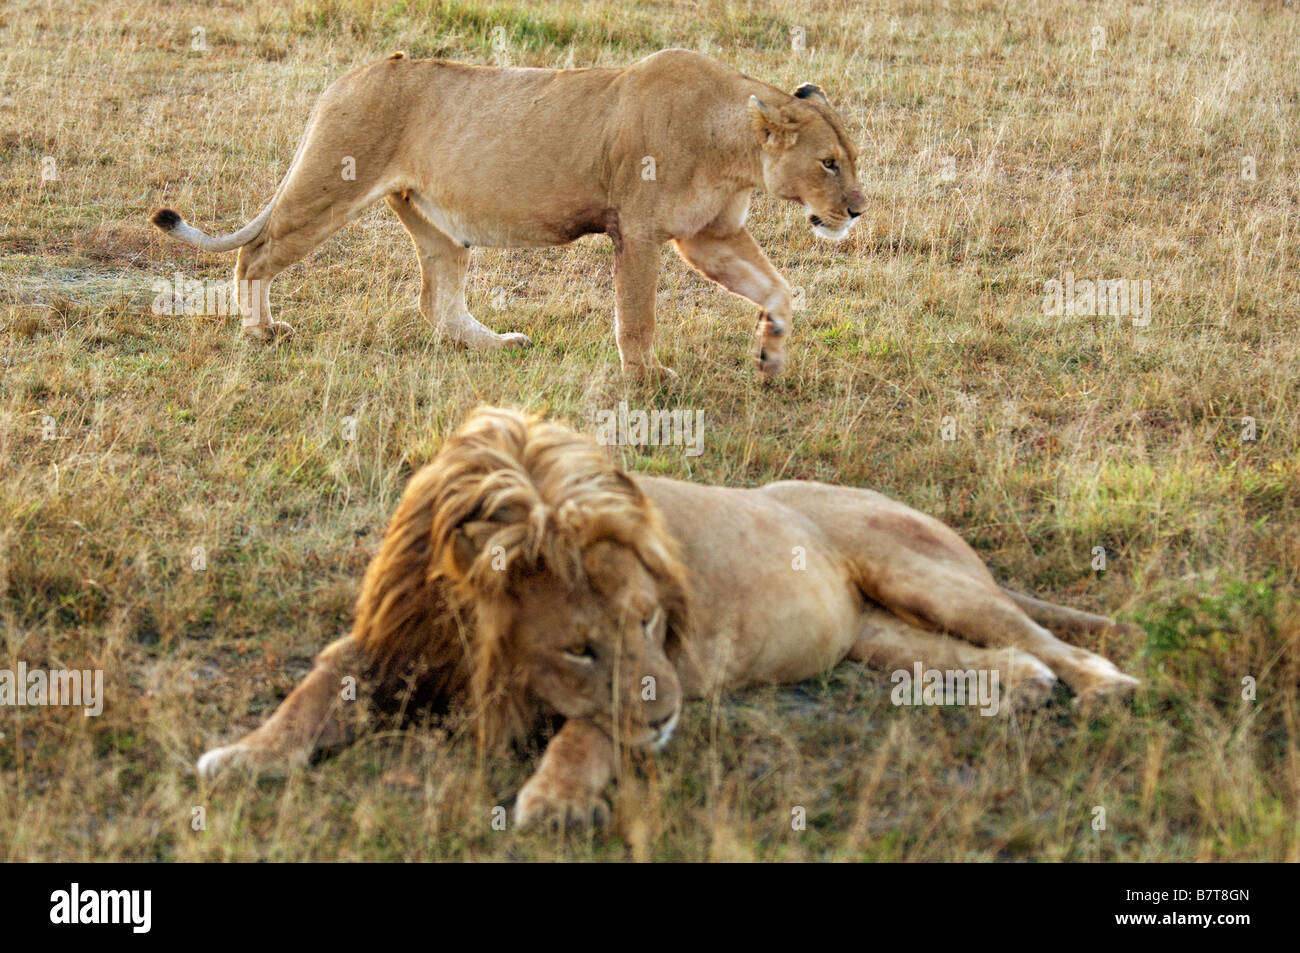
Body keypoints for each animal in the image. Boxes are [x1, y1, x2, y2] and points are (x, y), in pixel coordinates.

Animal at [147, 49, 865, 379]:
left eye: (851, 159)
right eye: (828, 163)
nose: (858, 210)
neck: (733, 144)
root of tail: (348, 76)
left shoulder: (711, 236)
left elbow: (778, 288)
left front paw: (770, 353)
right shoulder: (638, 232)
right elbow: (637, 315)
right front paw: (646, 380)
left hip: (436, 225)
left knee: (436, 305)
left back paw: (500, 344)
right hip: (327, 186)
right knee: (255, 253)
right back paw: (260, 332)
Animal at [196, 406, 1141, 831]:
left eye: (653, 623)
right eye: (578, 648)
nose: (670, 716)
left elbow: (589, 732)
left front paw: (556, 797)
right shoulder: (386, 642)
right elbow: (311, 693)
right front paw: (245, 755)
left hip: (918, 570)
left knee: (1039, 634)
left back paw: (1103, 687)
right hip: (874, 636)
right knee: (972, 655)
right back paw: (1021, 690)